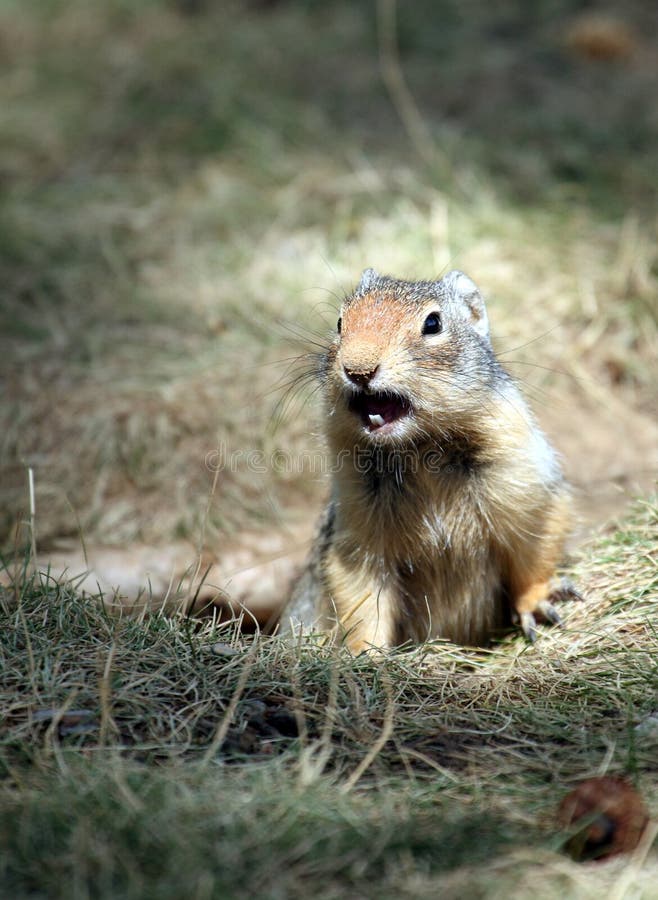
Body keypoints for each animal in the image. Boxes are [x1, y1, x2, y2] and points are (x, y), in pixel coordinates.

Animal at [284, 269, 581, 652]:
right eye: (339, 322)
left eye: (433, 323)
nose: (358, 369)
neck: (418, 448)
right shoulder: (355, 523)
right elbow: (361, 593)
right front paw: (367, 654)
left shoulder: (521, 479)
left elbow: (533, 546)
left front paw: (539, 602)